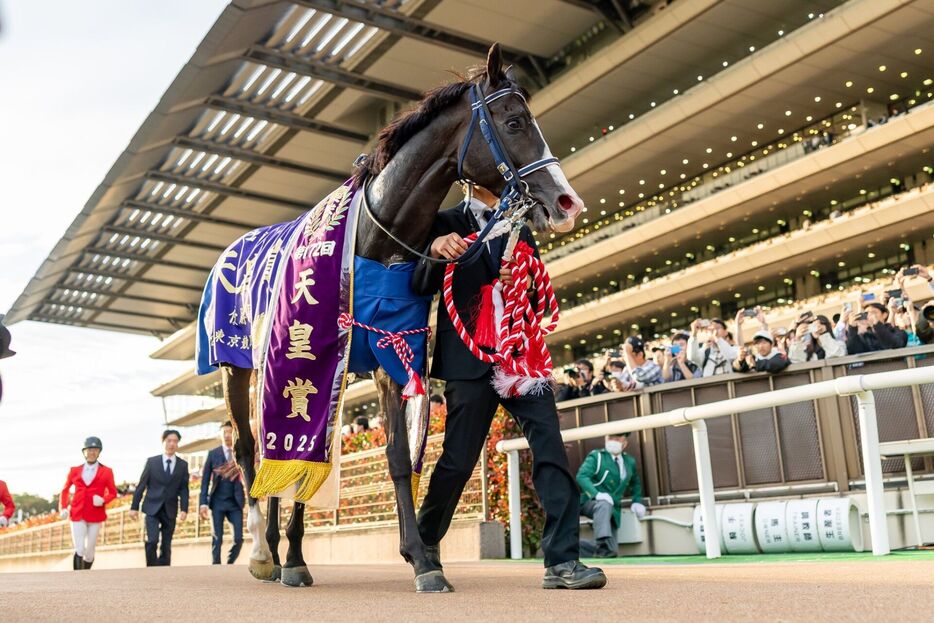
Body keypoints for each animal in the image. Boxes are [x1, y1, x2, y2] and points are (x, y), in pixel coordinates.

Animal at [201, 43, 584, 593]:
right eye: (514, 121)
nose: (566, 201)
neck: (376, 238)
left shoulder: (389, 350)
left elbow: (396, 458)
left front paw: (422, 559)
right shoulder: (313, 352)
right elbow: (300, 452)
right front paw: (294, 556)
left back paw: (281, 551)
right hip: (239, 365)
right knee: (252, 448)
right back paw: (261, 552)